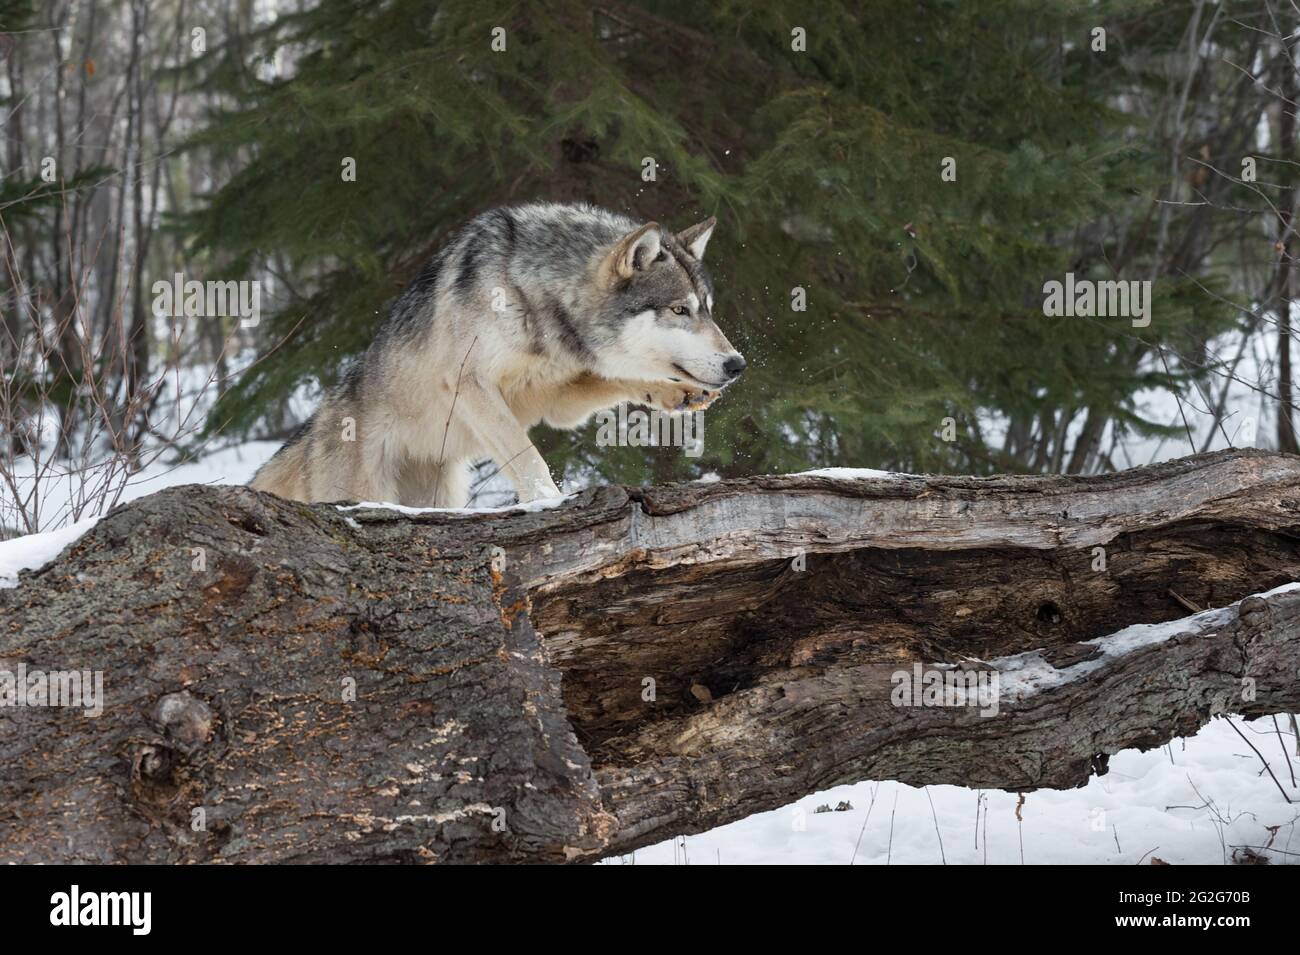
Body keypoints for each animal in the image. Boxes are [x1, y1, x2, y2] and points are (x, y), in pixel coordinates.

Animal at [249, 202, 746, 507]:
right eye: (680, 310)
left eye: (708, 309)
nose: (737, 364)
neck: (533, 294)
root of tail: (311, 428)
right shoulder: (469, 383)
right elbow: (527, 456)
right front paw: (548, 500)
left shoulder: (559, 399)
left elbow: (619, 378)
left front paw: (675, 393)